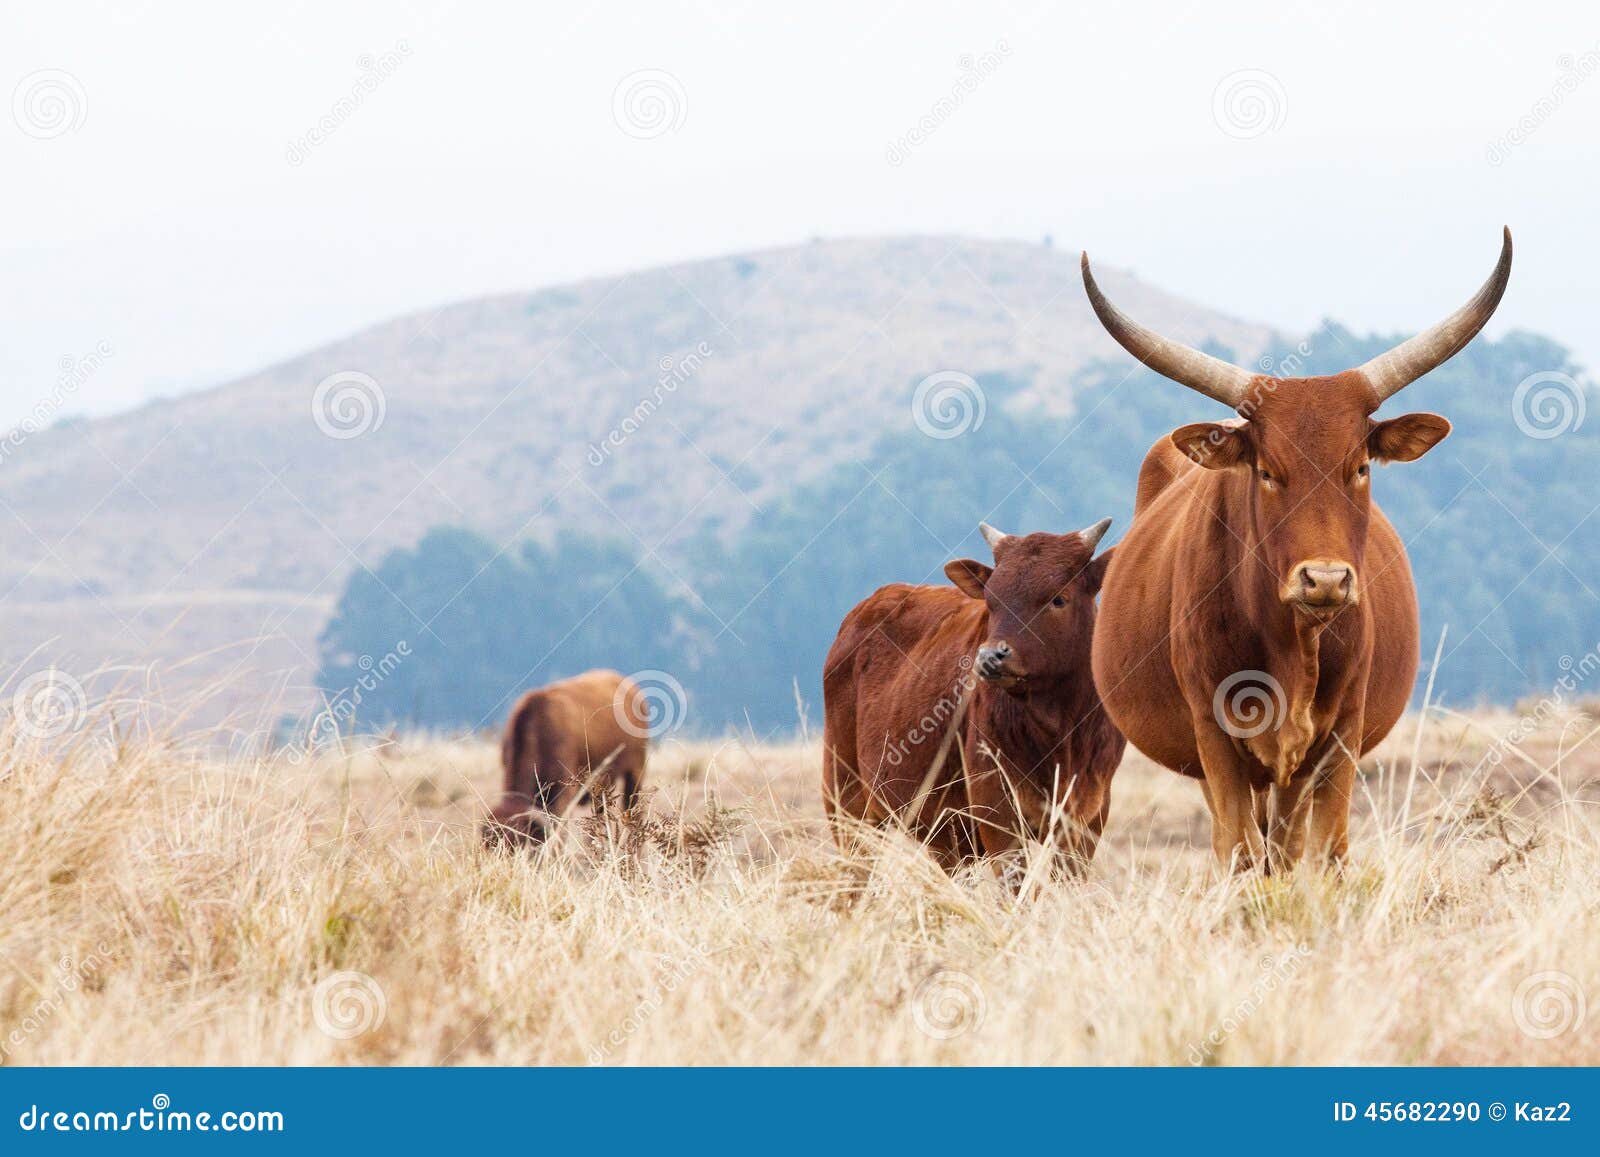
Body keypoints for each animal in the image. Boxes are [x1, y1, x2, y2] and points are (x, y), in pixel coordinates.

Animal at [821, 520, 1126, 875]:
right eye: (992, 601)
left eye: (1058, 599)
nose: (992, 656)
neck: (1058, 730)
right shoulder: (996, 808)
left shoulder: (1090, 811)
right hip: (846, 801)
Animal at [1080, 229, 1513, 871]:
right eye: (1266, 470)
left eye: (1360, 466)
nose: (1326, 581)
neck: (1293, 647)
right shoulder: (1213, 738)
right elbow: (1238, 849)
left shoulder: (1340, 738)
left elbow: (1322, 852)